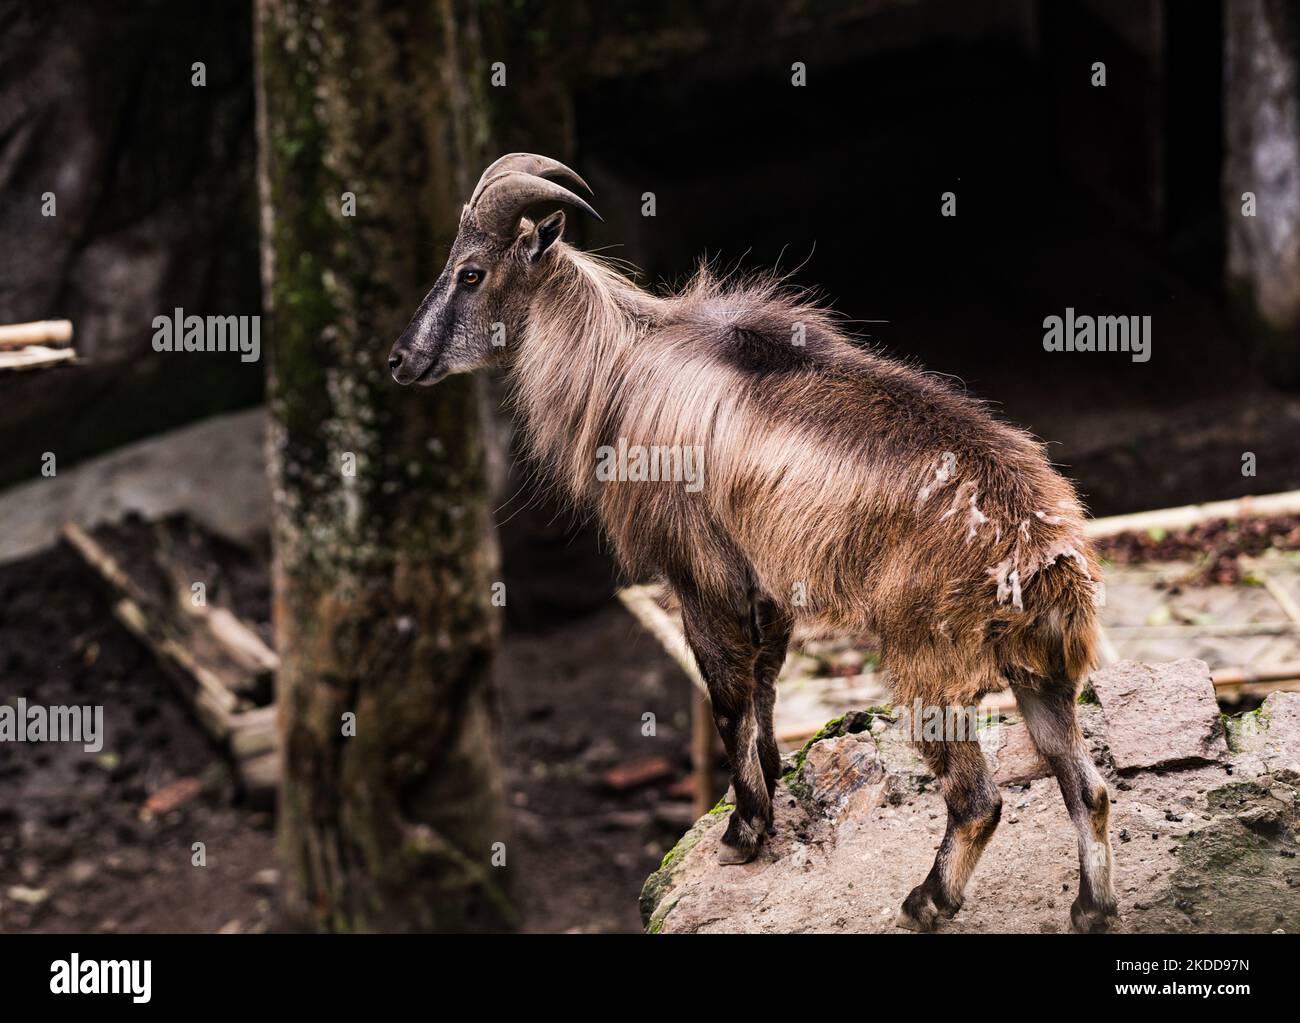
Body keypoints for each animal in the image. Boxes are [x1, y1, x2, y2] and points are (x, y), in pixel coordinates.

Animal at [389, 154, 1117, 933]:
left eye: (470, 273)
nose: (401, 360)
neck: (616, 366)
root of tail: (1046, 553)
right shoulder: (766, 579)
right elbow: (766, 678)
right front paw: (772, 781)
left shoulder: (700, 575)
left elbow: (729, 691)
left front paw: (743, 833)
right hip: (1041, 671)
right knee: (1087, 785)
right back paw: (1090, 907)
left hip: (932, 660)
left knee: (978, 799)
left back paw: (926, 901)